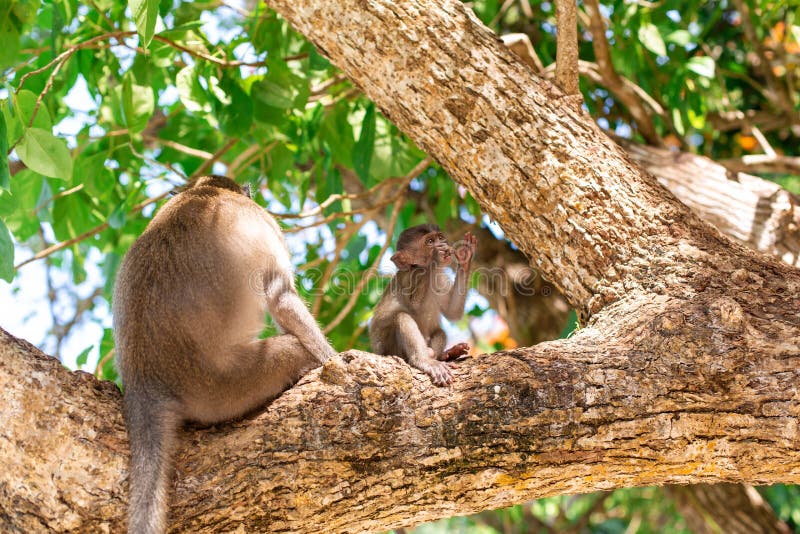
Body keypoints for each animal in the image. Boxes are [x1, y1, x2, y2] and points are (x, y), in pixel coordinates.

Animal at [113, 175, 336, 534]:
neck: (204, 190)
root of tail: (145, 380)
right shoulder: (264, 222)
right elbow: (280, 295)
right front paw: (335, 359)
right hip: (227, 384)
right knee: (290, 348)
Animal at [369, 224, 478, 386]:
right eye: (430, 242)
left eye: (440, 237)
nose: (443, 245)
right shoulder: (409, 277)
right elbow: (414, 305)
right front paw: (435, 257)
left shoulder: (440, 278)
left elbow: (453, 312)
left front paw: (465, 257)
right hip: (392, 349)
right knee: (402, 317)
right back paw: (425, 361)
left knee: (439, 331)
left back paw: (445, 355)